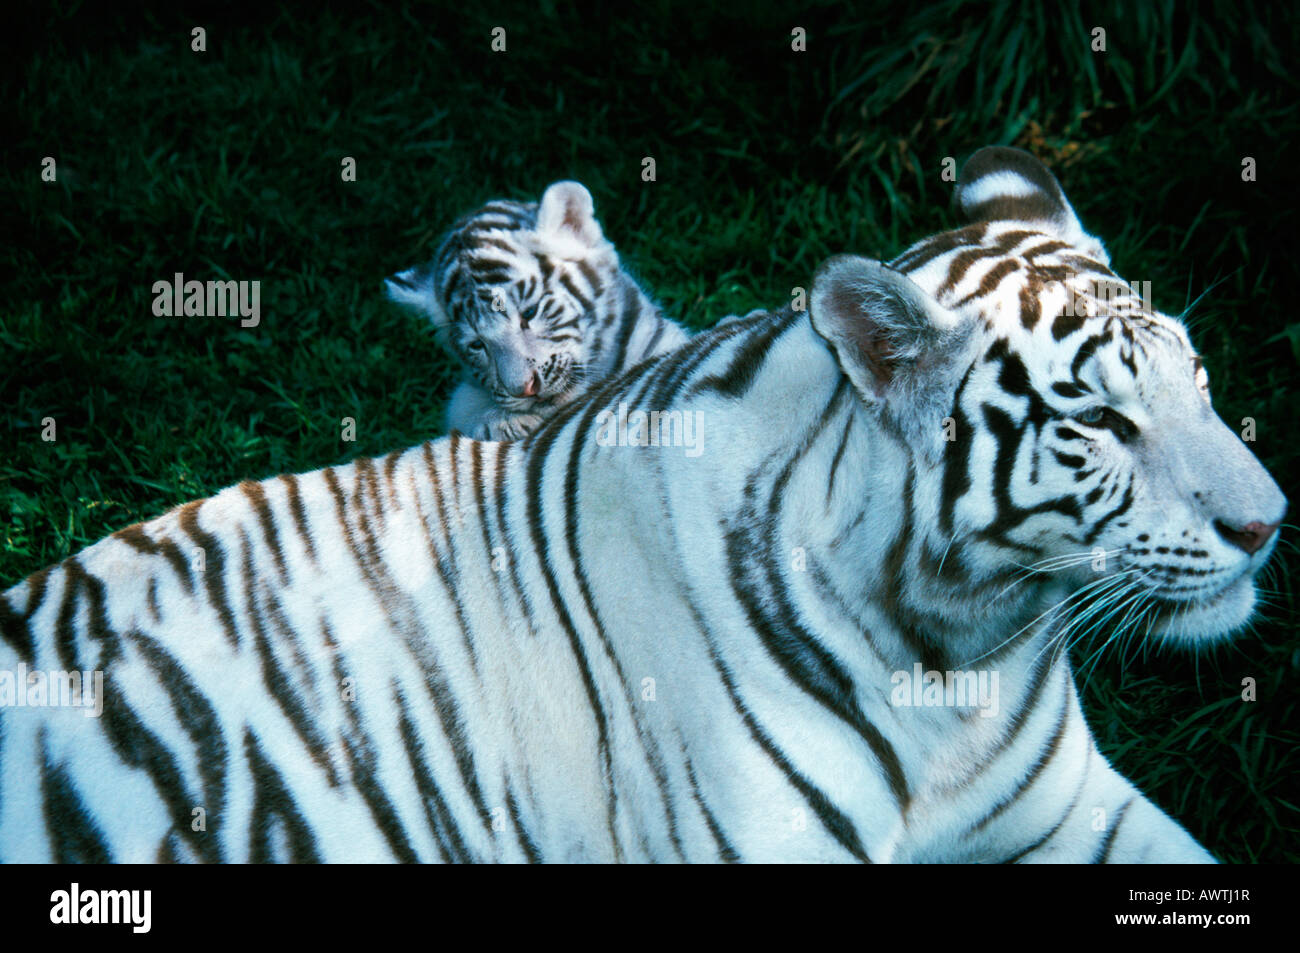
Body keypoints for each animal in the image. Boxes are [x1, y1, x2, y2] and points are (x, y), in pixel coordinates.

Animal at [385, 180, 690, 441]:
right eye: (477, 345)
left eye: (529, 313)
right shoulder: (464, 394)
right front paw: (503, 423)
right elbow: (463, 406)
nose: (524, 389)